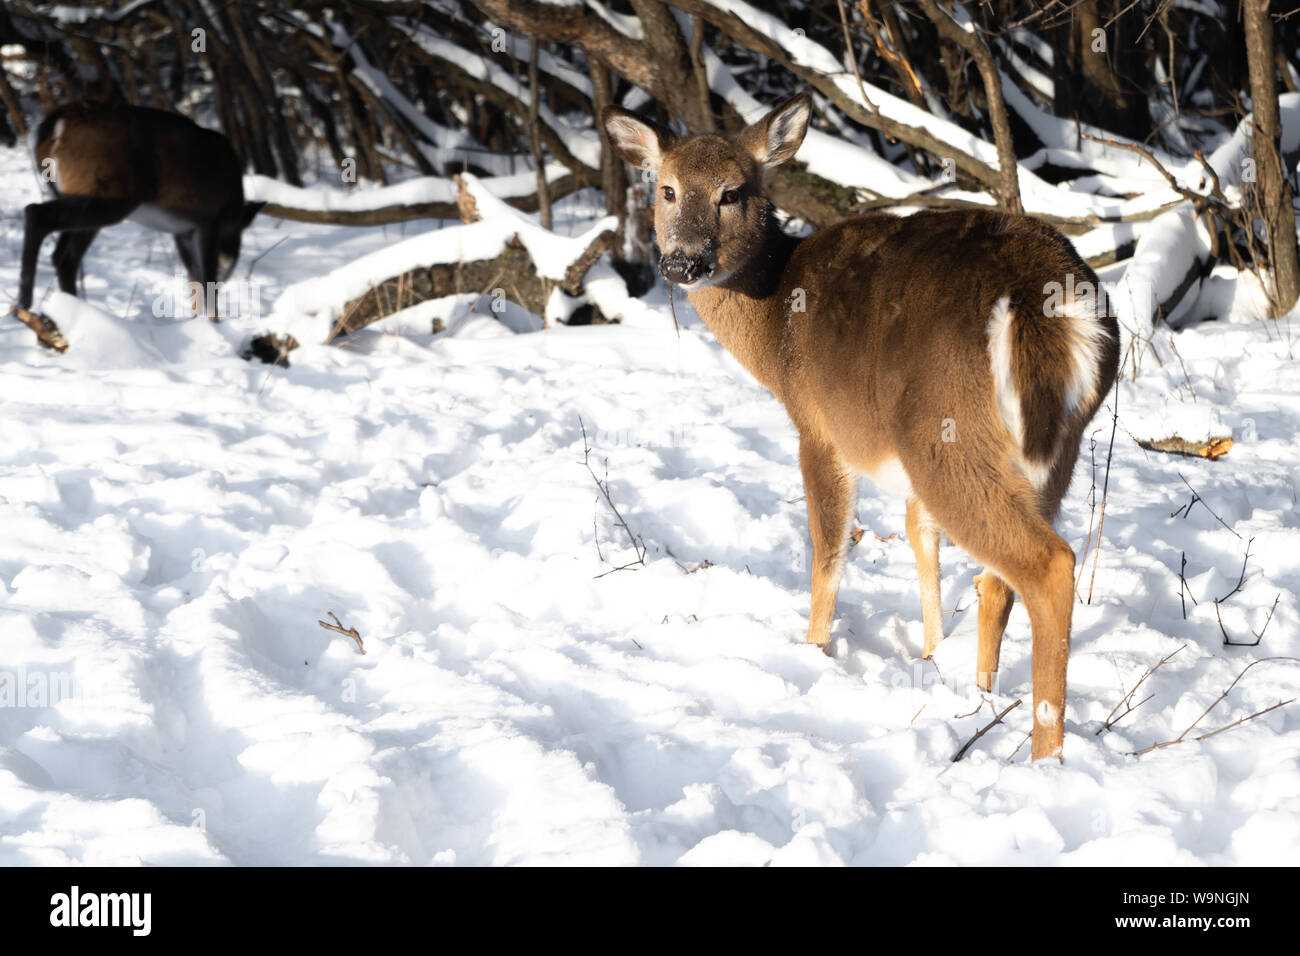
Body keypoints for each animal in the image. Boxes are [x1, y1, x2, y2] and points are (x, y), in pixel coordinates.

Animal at [13, 101, 265, 340]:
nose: (227, 268)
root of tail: (58, 122)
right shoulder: (208, 222)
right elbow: (207, 283)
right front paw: (214, 326)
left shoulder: (182, 232)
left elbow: (195, 282)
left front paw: (198, 323)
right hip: (107, 195)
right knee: (36, 214)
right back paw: (23, 305)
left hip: (82, 199)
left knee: (64, 256)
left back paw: (72, 311)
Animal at [602, 93, 1119, 761]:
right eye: (665, 189)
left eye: (732, 192)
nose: (683, 261)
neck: (773, 324)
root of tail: (1047, 303)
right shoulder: (904, 469)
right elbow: (922, 545)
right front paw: (931, 657)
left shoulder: (819, 427)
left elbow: (829, 550)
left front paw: (813, 652)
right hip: (1042, 453)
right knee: (998, 579)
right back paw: (982, 698)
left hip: (948, 431)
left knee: (1046, 564)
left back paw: (1044, 756)